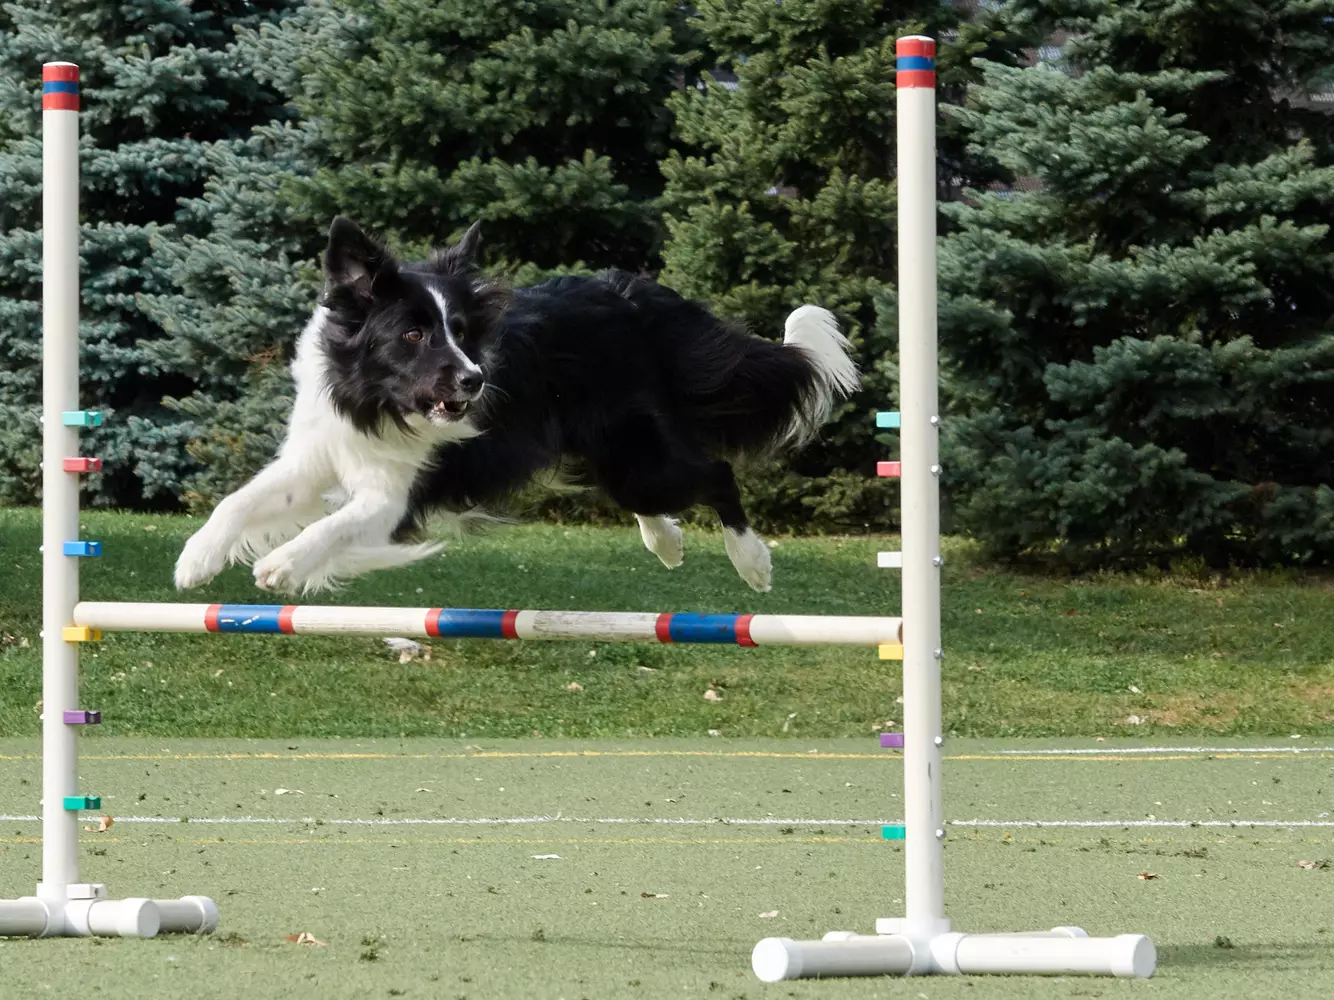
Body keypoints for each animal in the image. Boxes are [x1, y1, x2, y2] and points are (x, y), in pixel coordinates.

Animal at [172, 218, 859, 594]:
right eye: (412, 334)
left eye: (461, 331)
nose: (476, 381)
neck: (374, 397)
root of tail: (631, 293)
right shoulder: (319, 452)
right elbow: (240, 500)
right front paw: (194, 562)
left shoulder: (393, 497)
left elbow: (329, 525)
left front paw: (282, 566)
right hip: (617, 454)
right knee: (658, 494)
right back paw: (666, 542)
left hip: (640, 453)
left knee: (715, 474)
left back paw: (753, 564)